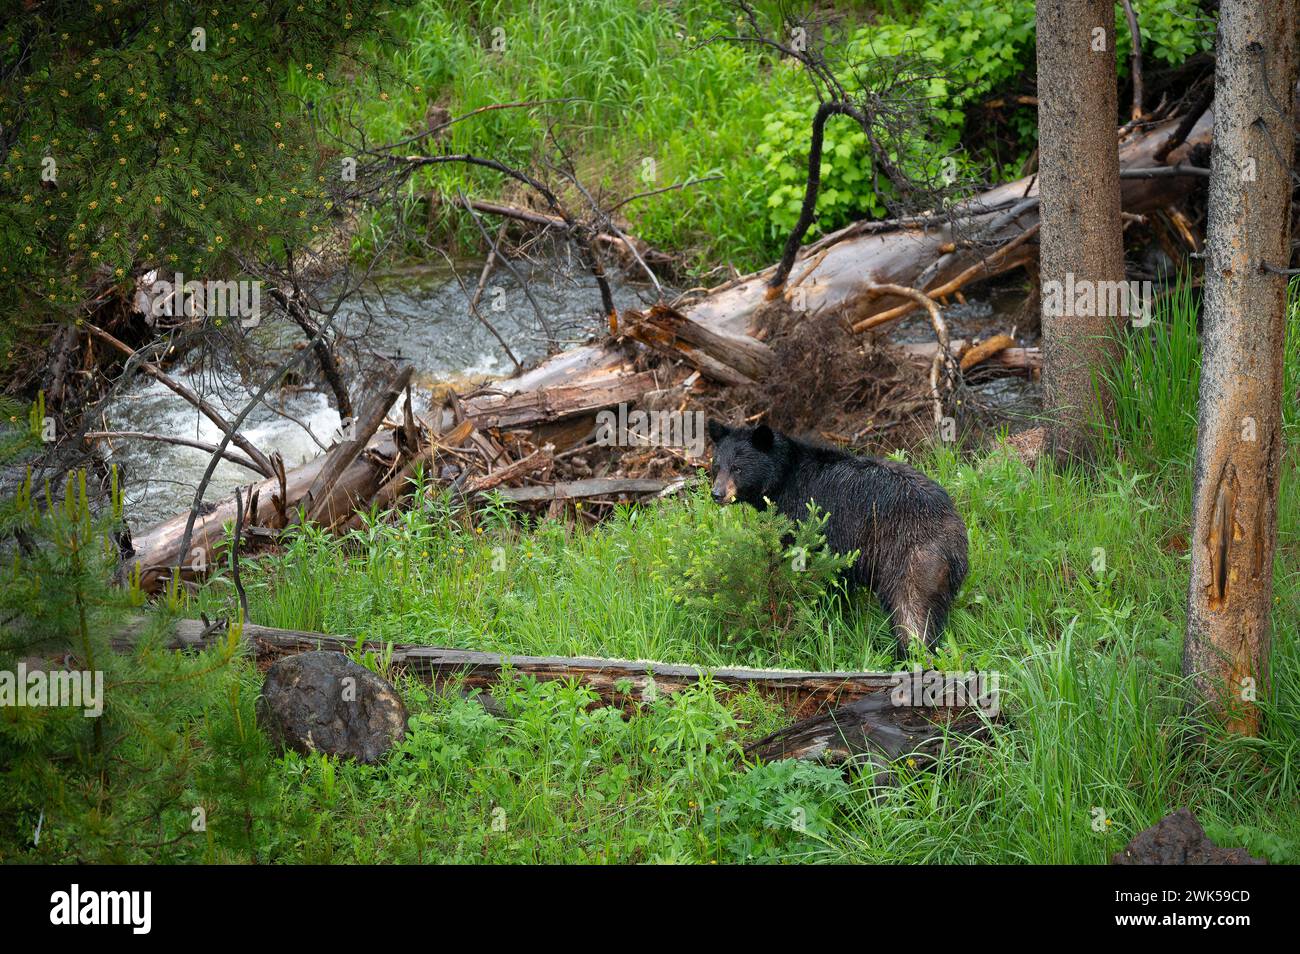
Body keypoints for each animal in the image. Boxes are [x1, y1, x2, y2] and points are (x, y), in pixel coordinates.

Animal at [706, 419, 968, 655]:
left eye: (738, 467)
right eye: (717, 465)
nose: (717, 494)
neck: (783, 479)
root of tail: (952, 529)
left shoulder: (808, 519)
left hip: (910, 558)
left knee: (911, 612)